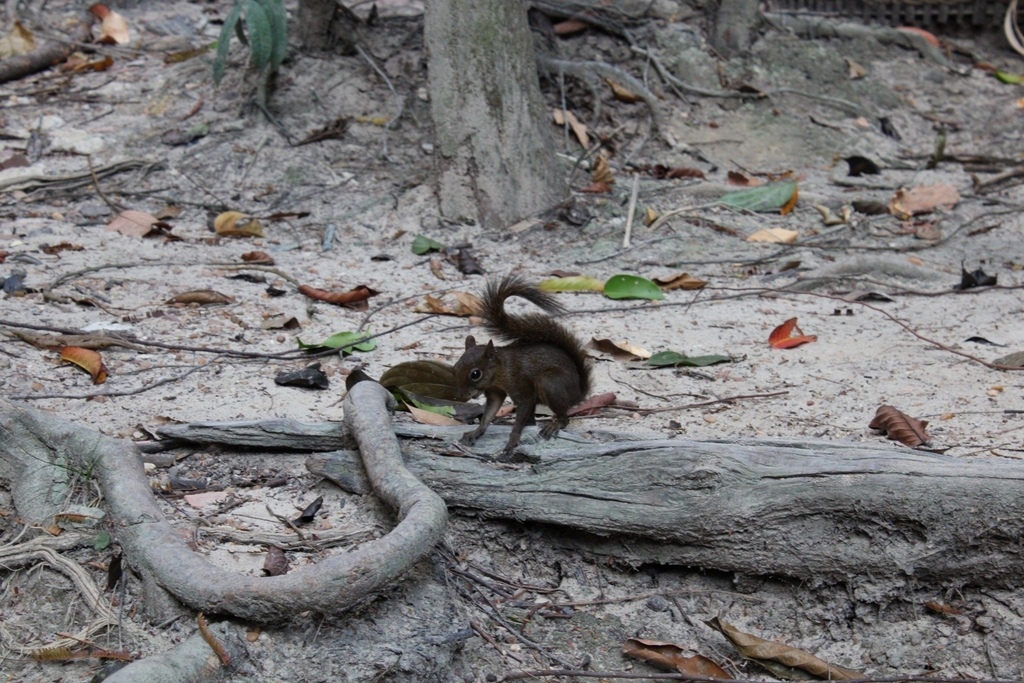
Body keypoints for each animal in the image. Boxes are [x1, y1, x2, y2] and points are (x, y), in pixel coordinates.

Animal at [453, 274, 592, 457]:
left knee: (563, 418)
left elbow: (523, 407)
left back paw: (555, 424)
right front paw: (476, 431)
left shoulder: (519, 385)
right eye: (455, 367)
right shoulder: (495, 392)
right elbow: (489, 413)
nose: (459, 396)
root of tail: (578, 393)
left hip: (549, 382)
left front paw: (513, 439)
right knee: (531, 421)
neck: (500, 371)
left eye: (476, 374)